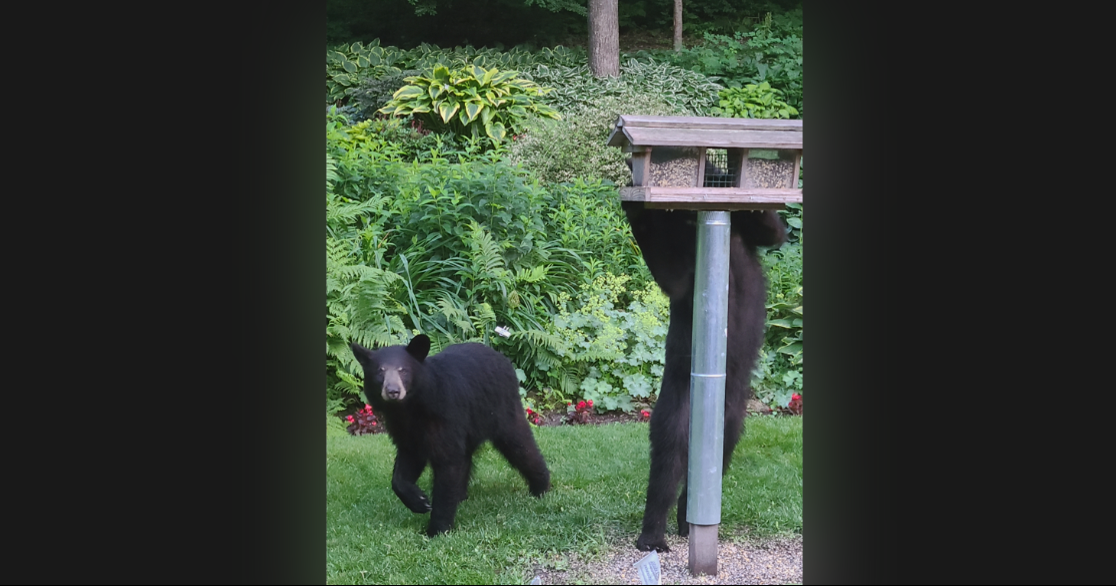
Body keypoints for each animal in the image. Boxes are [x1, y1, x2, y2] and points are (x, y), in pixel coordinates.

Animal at [349, 334, 552, 537]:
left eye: (403, 370)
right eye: (380, 371)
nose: (393, 391)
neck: (410, 409)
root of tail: (502, 358)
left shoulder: (445, 414)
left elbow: (448, 463)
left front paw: (437, 529)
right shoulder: (405, 430)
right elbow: (406, 465)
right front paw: (420, 501)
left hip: (500, 410)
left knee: (520, 445)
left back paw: (541, 487)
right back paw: (460, 495)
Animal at [622, 163, 787, 552]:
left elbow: (773, 231)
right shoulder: (685, 269)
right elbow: (674, 276)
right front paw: (634, 205)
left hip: (731, 414)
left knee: (716, 457)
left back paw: (687, 521)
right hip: (679, 400)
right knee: (667, 459)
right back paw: (652, 536)